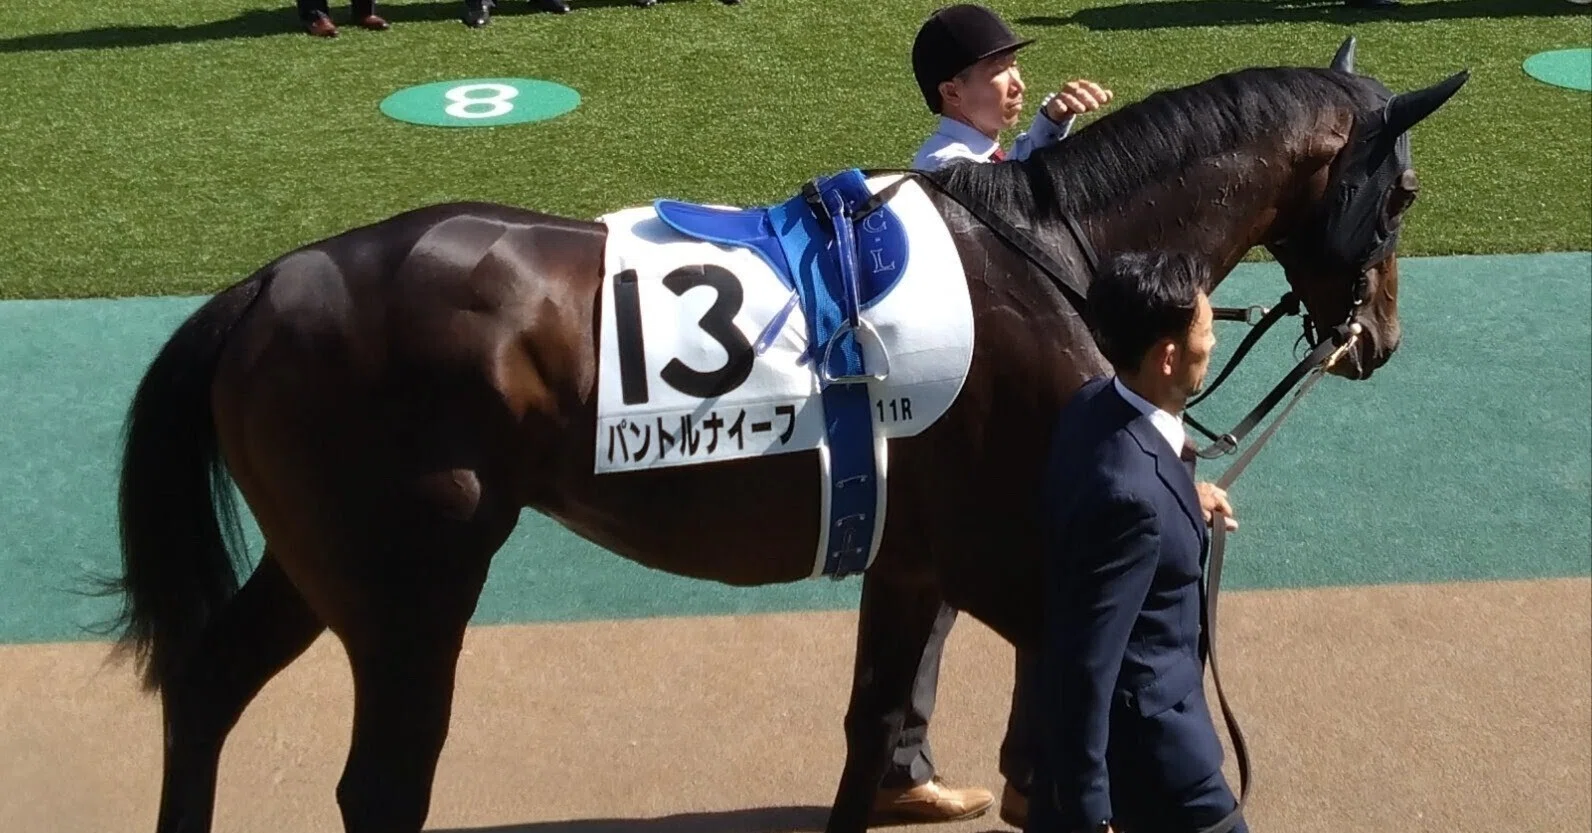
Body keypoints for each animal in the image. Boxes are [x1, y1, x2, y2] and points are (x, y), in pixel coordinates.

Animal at [99, 38, 1465, 833]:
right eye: (1402, 190)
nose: (1377, 339)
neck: (1048, 250)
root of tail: (263, 284)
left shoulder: (911, 562)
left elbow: (870, 734)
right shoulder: (1025, 564)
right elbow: (1080, 712)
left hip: (316, 564)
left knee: (205, 687)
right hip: (408, 590)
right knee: (379, 784)